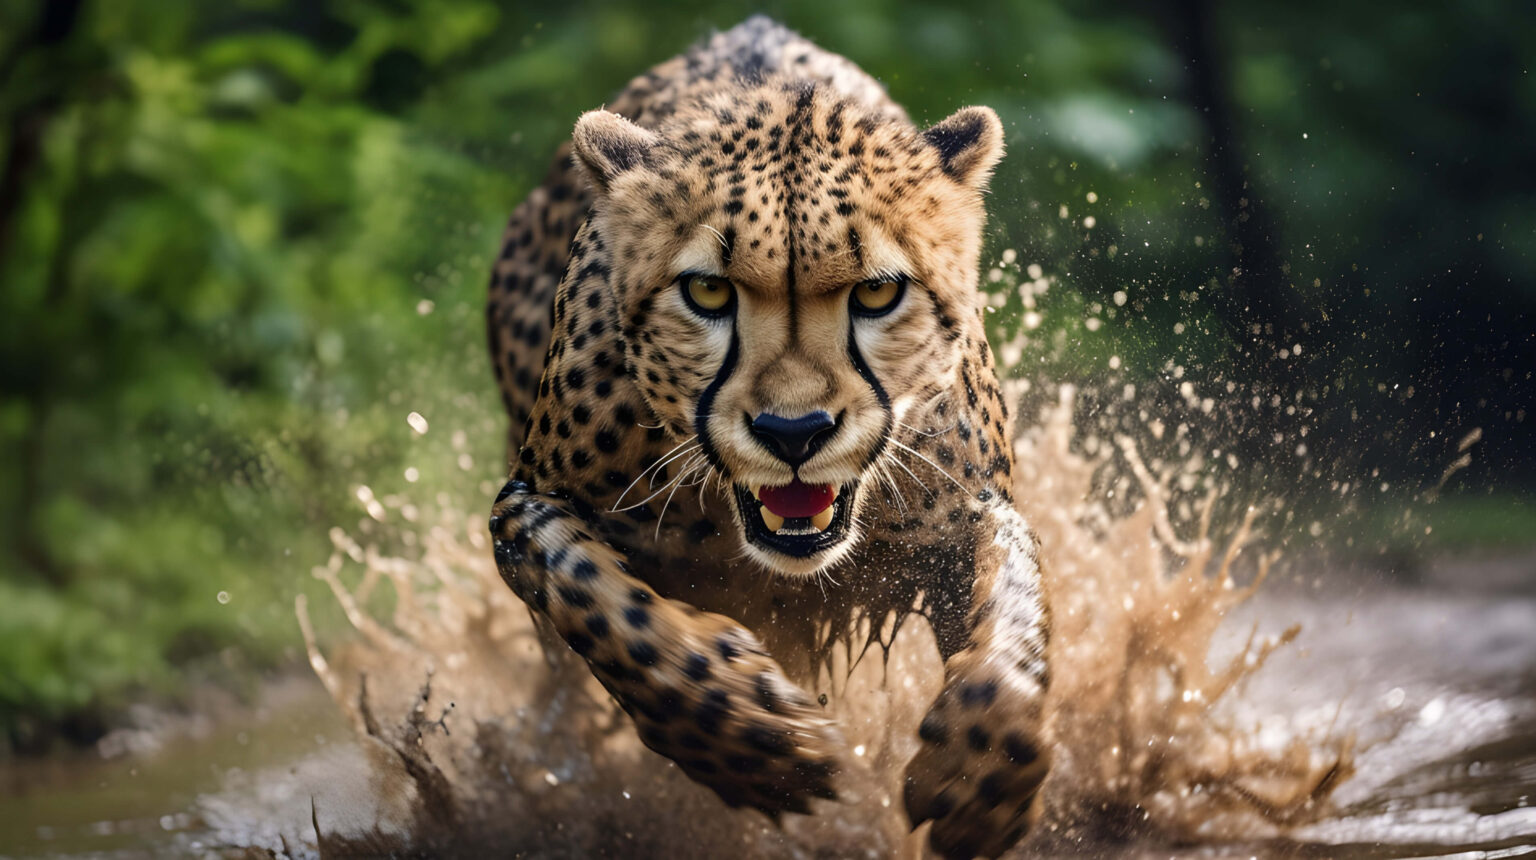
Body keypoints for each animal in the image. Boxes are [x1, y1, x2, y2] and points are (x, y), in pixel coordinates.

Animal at [486, 17, 1050, 859]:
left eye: (877, 292)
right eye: (706, 291)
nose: (794, 431)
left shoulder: (969, 510)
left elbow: (1016, 613)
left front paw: (985, 777)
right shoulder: (527, 498)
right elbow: (595, 598)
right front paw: (758, 745)